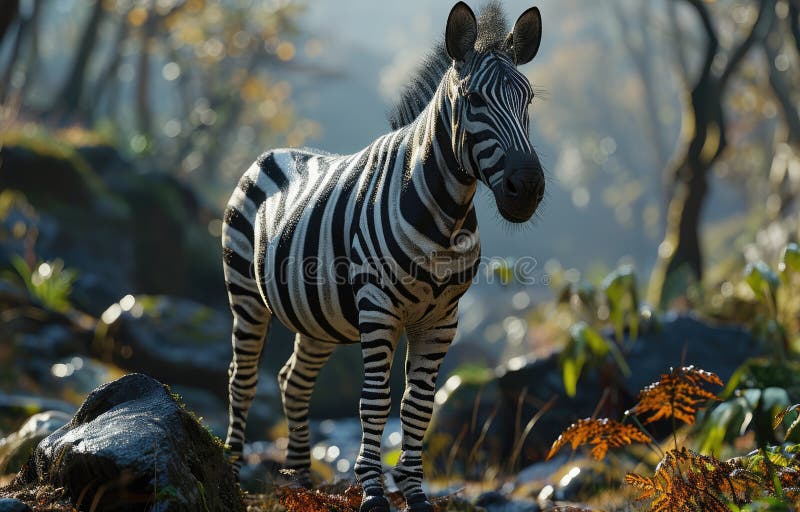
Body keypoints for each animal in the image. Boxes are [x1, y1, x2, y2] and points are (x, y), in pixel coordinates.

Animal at [222, 2, 544, 511]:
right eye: (474, 99)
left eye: (528, 100)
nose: (527, 187)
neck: (445, 214)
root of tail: (275, 152)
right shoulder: (379, 307)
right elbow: (375, 401)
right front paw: (373, 491)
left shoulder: (442, 318)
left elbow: (417, 406)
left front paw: (414, 492)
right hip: (246, 295)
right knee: (243, 377)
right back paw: (233, 472)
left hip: (317, 314)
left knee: (293, 380)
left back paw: (299, 481)